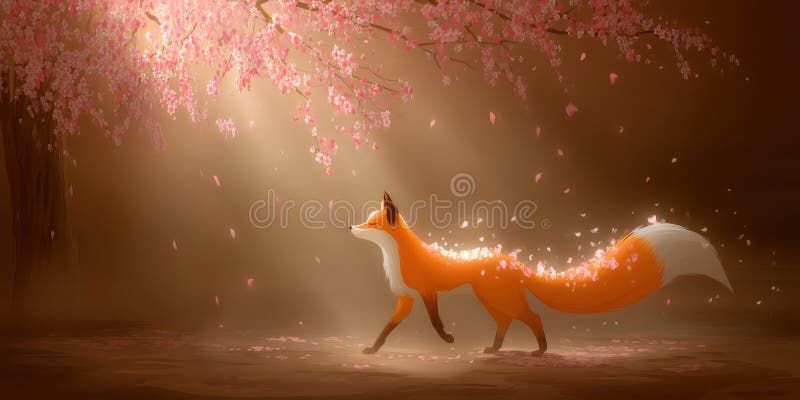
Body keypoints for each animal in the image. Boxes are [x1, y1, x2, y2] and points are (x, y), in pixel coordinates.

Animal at [349, 192, 732, 355]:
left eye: (372, 223)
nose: (351, 227)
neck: (399, 255)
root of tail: (516, 263)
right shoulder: (405, 298)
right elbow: (387, 328)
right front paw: (372, 348)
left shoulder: (426, 291)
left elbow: (435, 321)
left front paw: (447, 339)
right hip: (492, 300)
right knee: (507, 323)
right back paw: (495, 349)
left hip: (497, 298)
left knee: (532, 317)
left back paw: (541, 351)